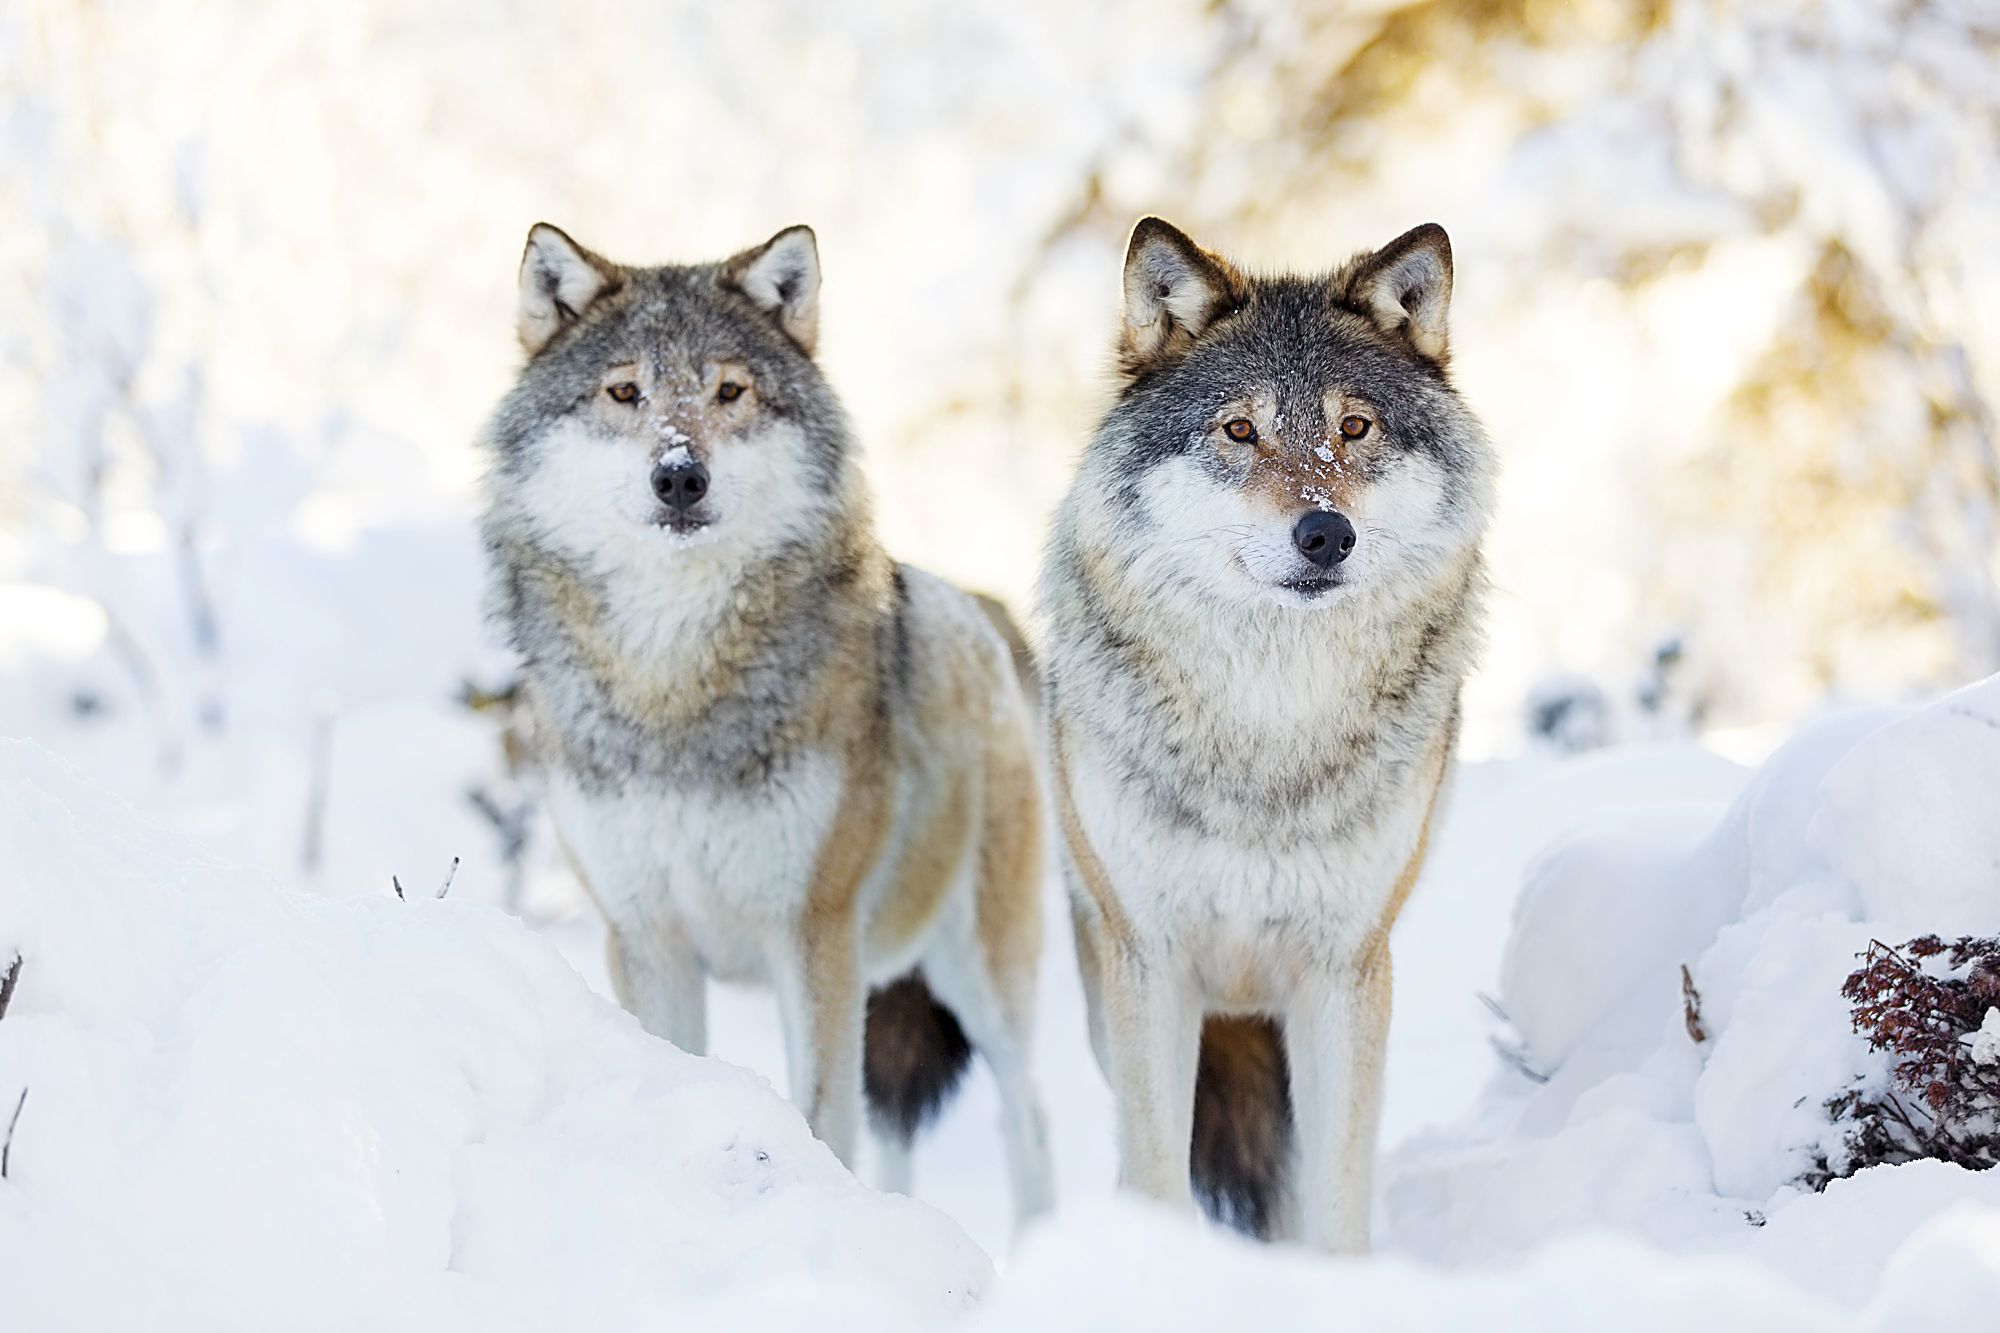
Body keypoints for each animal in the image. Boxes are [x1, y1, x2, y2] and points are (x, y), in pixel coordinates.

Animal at [479, 222, 1053, 1223]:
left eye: (729, 391)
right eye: (624, 391)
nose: (679, 474)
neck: (673, 685)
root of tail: (984, 613)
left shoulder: (811, 931)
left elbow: (821, 1118)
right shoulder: (647, 936)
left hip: (981, 977)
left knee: (1032, 1119)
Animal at [1037, 217, 1493, 1251]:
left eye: (1353, 427)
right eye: (1239, 430)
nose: (1325, 534)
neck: (1268, 728)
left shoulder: (1346, 970)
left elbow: (1336, 1195)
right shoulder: (1150, 962)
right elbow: (1158, 1174)